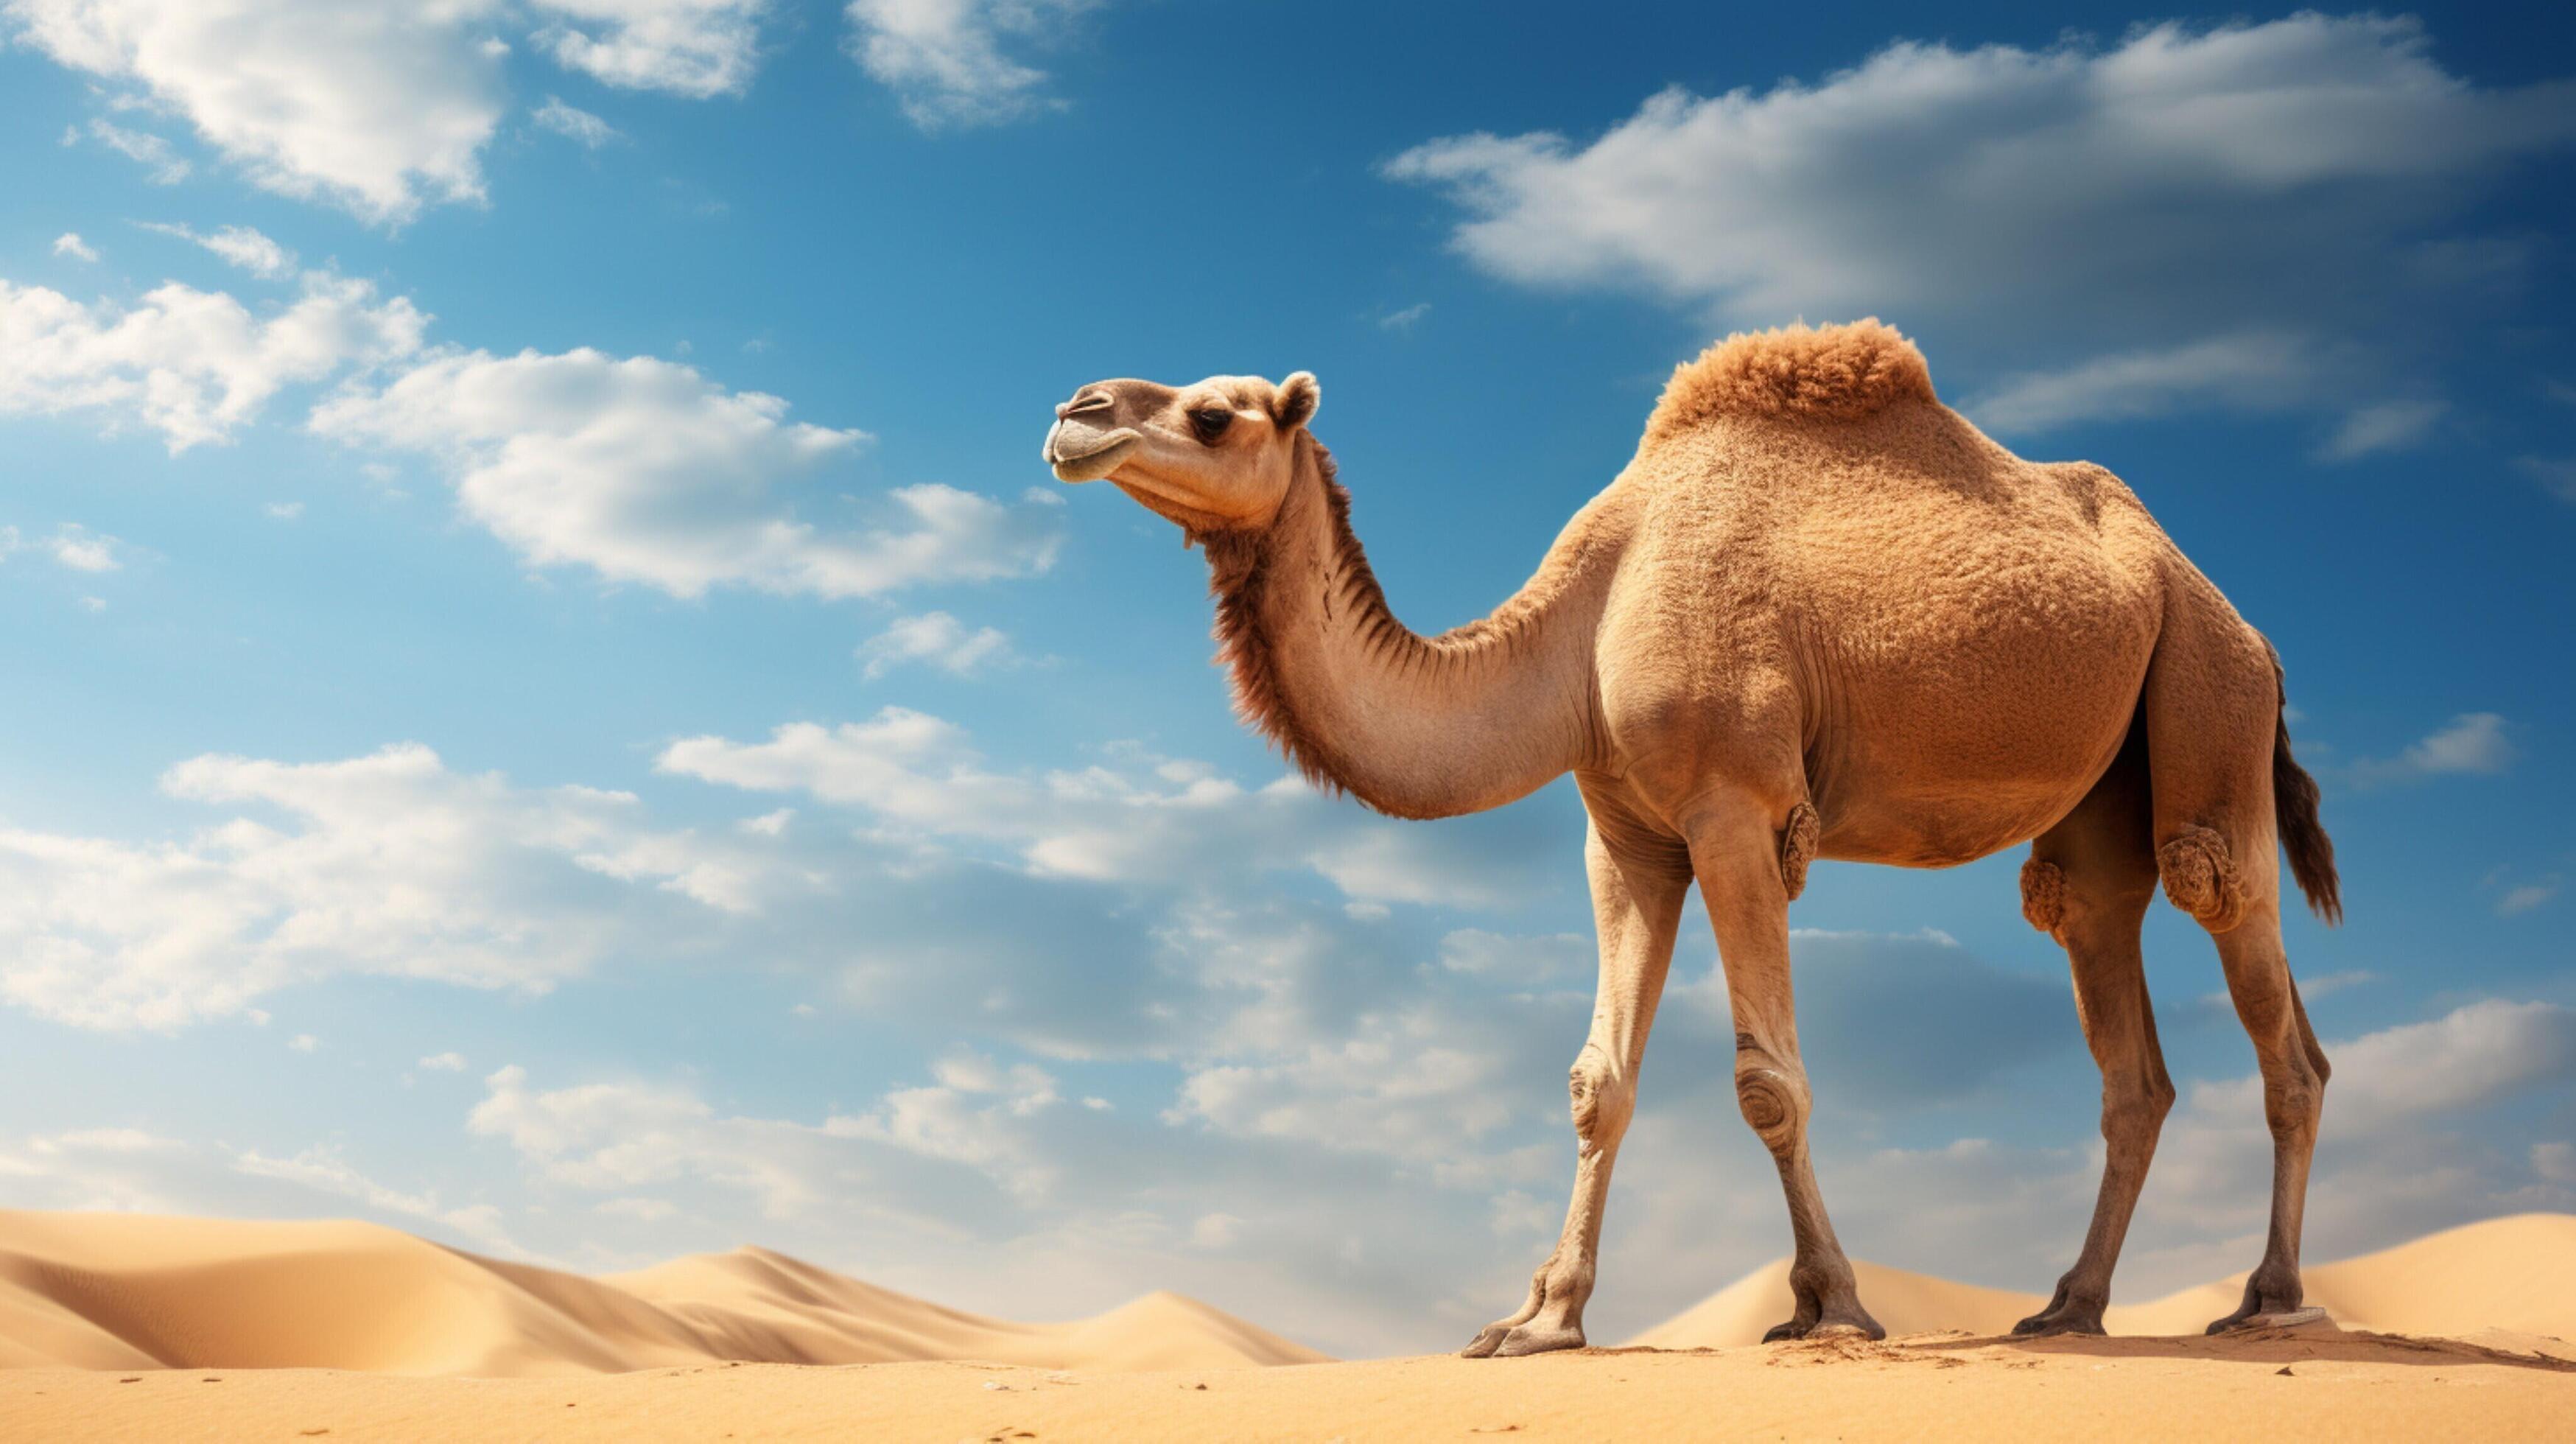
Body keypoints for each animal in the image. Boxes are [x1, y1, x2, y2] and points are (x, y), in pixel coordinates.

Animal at [1040, 320, 2341, 1354]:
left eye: (1212, 414)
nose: (1073, 412)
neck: (1582, 626)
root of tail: (2250, 625)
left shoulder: (1736, 807)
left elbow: (1768, 1079)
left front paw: (1833, 1307)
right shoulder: (1625, 835)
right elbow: (1596, 1083)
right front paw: (1540, 1320)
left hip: (2209, 702)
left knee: (2260, 982)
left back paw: (2269, 1300)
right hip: (2104, 781)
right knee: (2116, 1012)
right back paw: (2069, 1306)